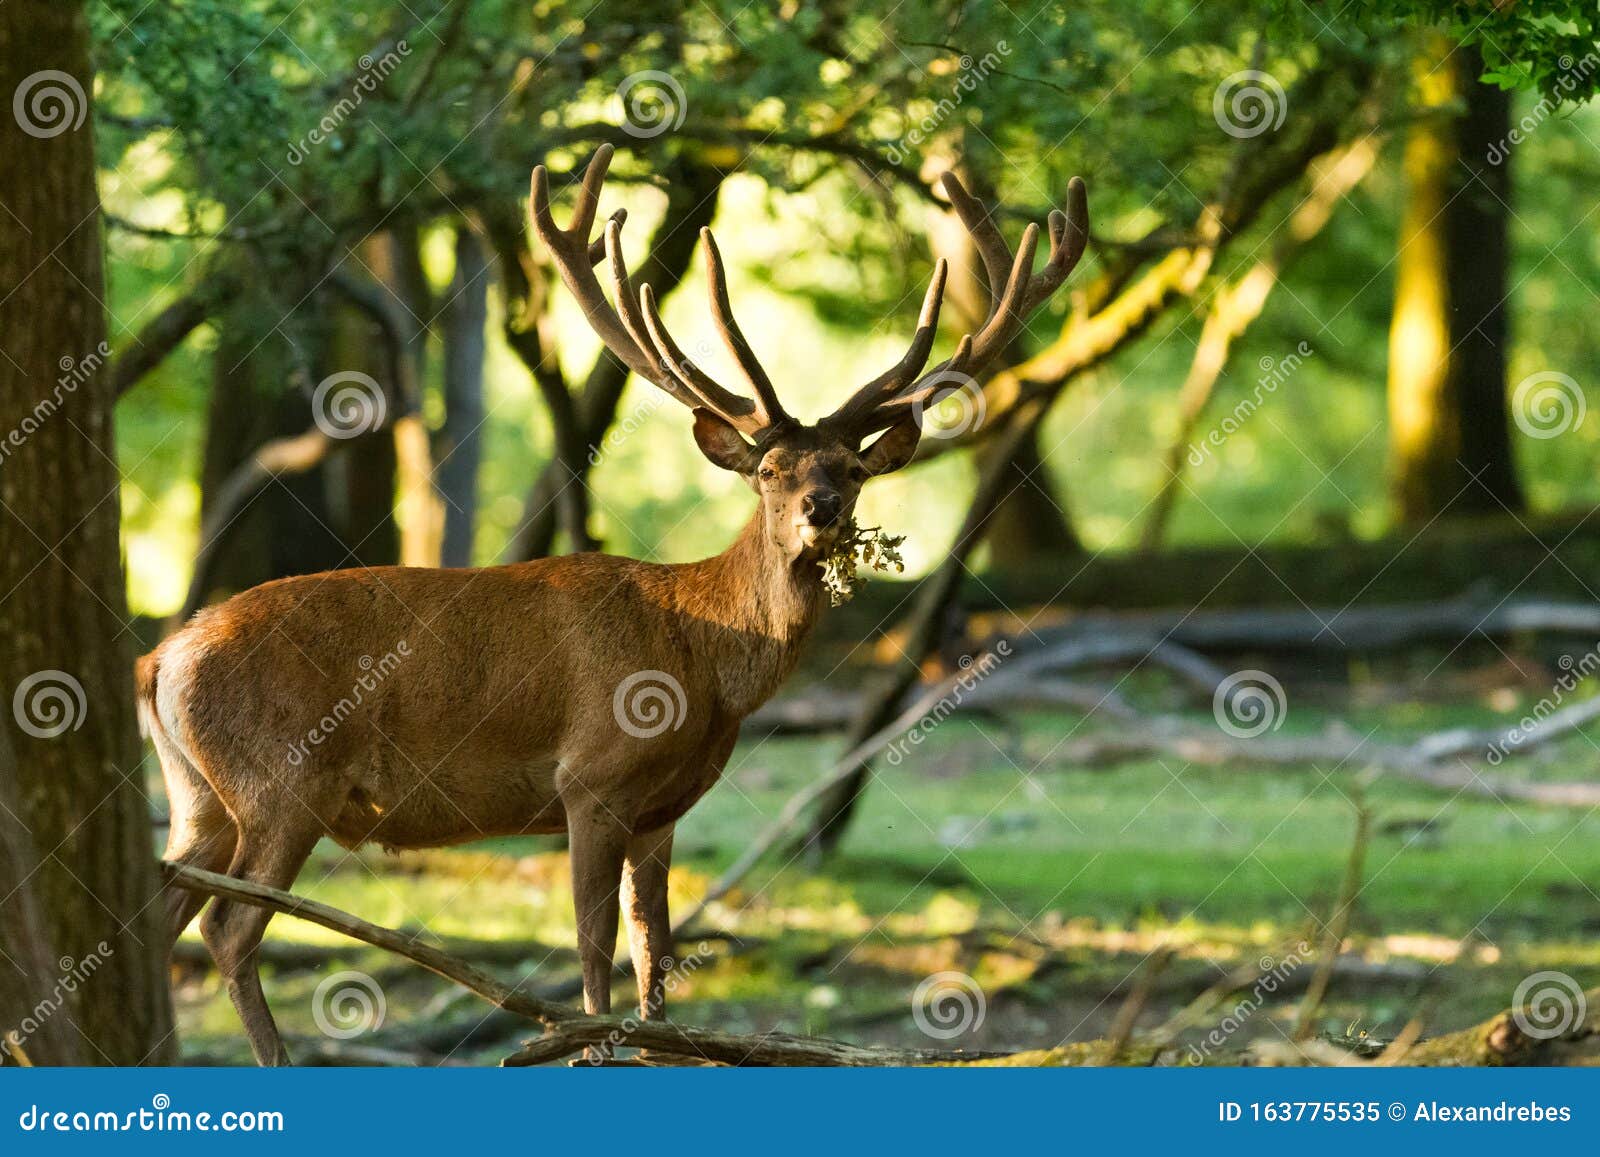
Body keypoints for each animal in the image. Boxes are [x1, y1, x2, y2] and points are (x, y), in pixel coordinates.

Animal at [137, 144, 1087, 1065]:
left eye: (851, 469)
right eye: (771, 469)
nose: (819, 510)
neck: (704, 661)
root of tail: (158, 659)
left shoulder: (662, 806)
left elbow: (653, 955)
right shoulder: (590, 777)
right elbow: (594, 951)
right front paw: (585, 1046)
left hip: (200, 800)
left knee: (158, 908)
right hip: (282, 780)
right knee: (227, 929)